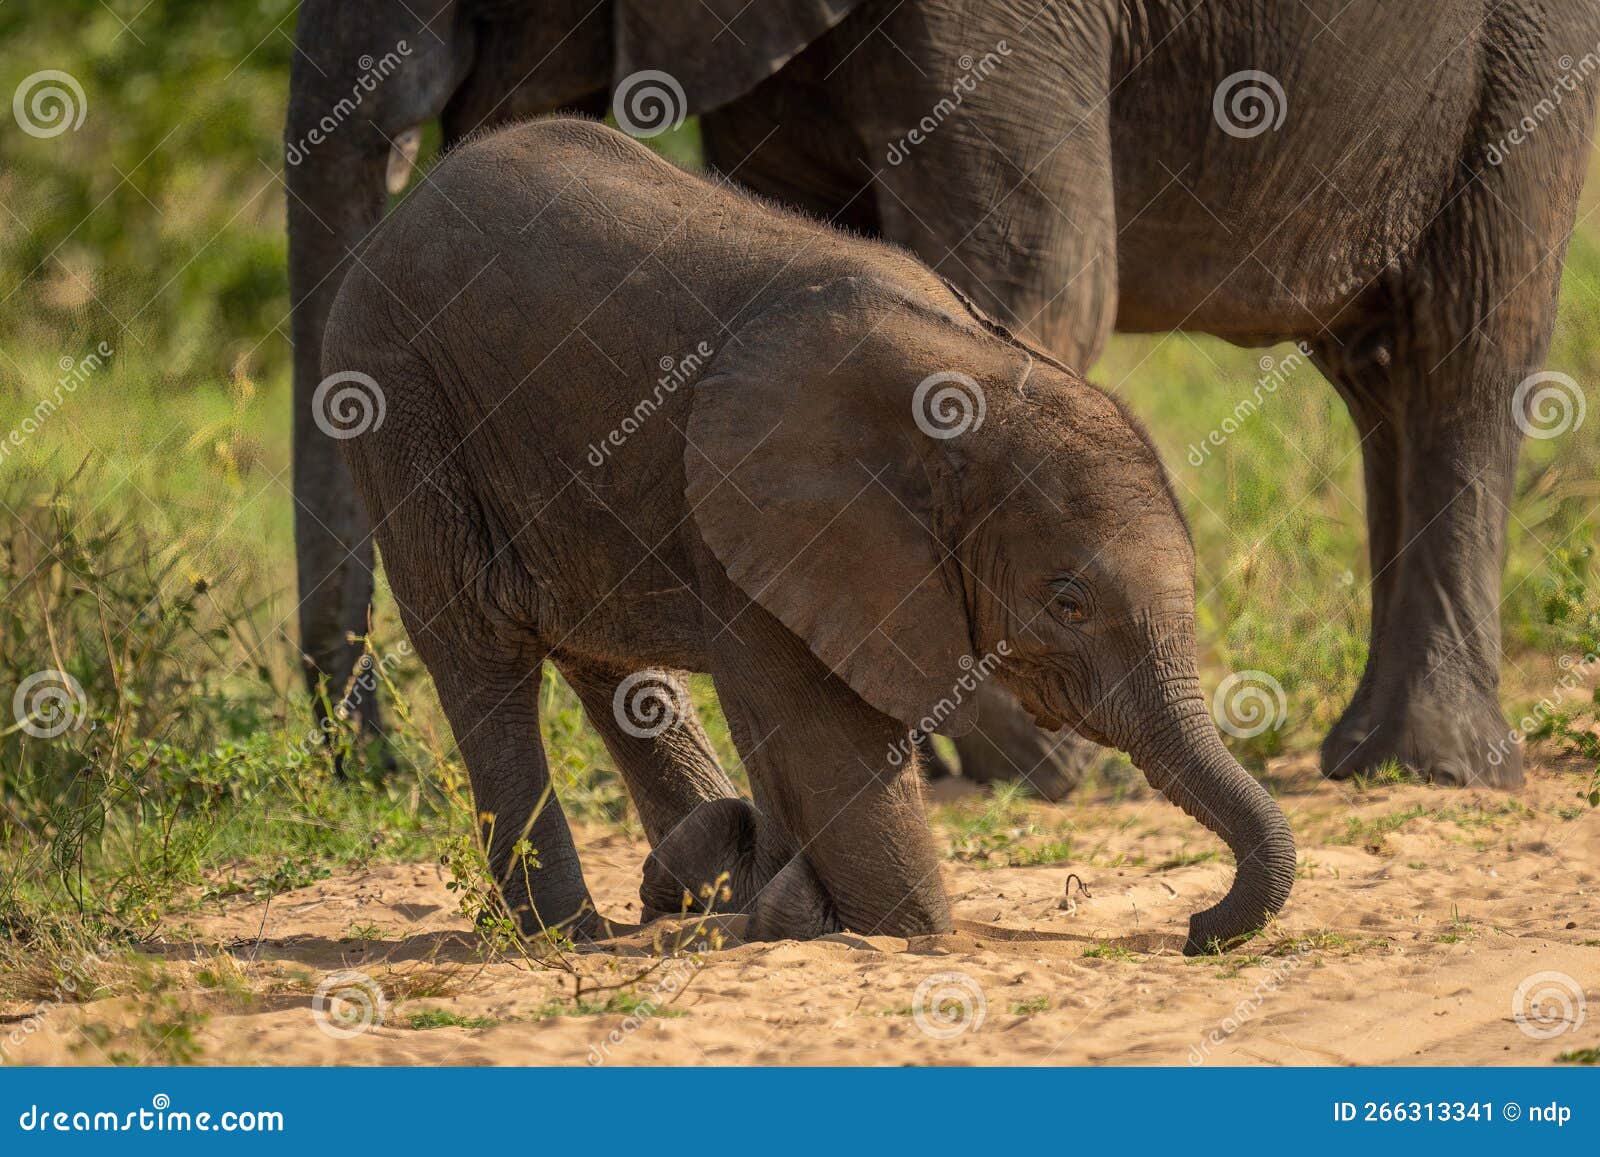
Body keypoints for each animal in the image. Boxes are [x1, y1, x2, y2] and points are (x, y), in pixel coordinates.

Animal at [288, 0, 1600, 790]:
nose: (376, 768)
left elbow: (1034, 272)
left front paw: (1024, 771)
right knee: (1379, 373)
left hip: (1529, 50)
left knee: (1462, 342)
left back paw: (1424, 769)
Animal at [318, 117, 1297, 953]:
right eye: (1069, 603)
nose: (1193, 927)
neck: (974, 374)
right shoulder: (781, 523)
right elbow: (834, 745)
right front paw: (831, 913)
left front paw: (766, 892)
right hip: (401, 400)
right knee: (481, 655)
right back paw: (573, 933)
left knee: (608, 660)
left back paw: (694, 874)